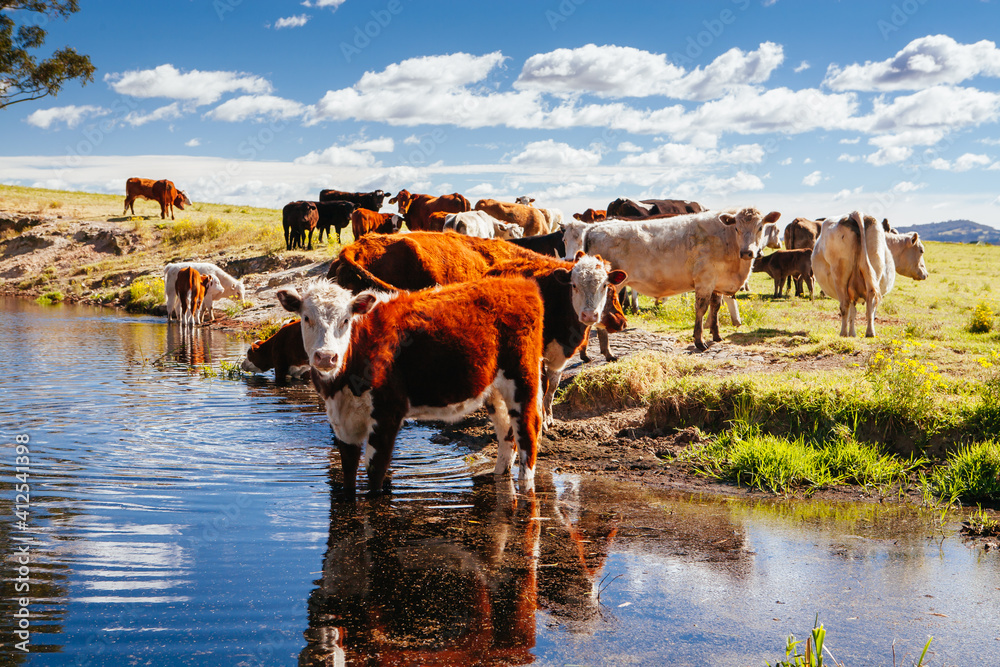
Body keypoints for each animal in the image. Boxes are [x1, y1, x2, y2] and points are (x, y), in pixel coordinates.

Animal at [277, 276, 545, 498]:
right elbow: (348, 475)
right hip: (494, 387)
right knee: (505, 430)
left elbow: (375, 474)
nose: (326, 357)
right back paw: (499, 473)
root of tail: (518, 283)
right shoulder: (342, 422)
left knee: (527, 431)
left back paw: (525, 483)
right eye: (306, 318)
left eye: (346, 320)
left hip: (523, 377)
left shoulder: (387, 413)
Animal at [563, 208, 781, 351]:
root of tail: (596, 227)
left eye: (760, 227)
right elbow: (701, 309)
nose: (747, 252)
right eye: (736, 228)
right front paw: (699, 341)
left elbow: (715, 308)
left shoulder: (716, 283)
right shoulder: (704, 280)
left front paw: (717, 335)